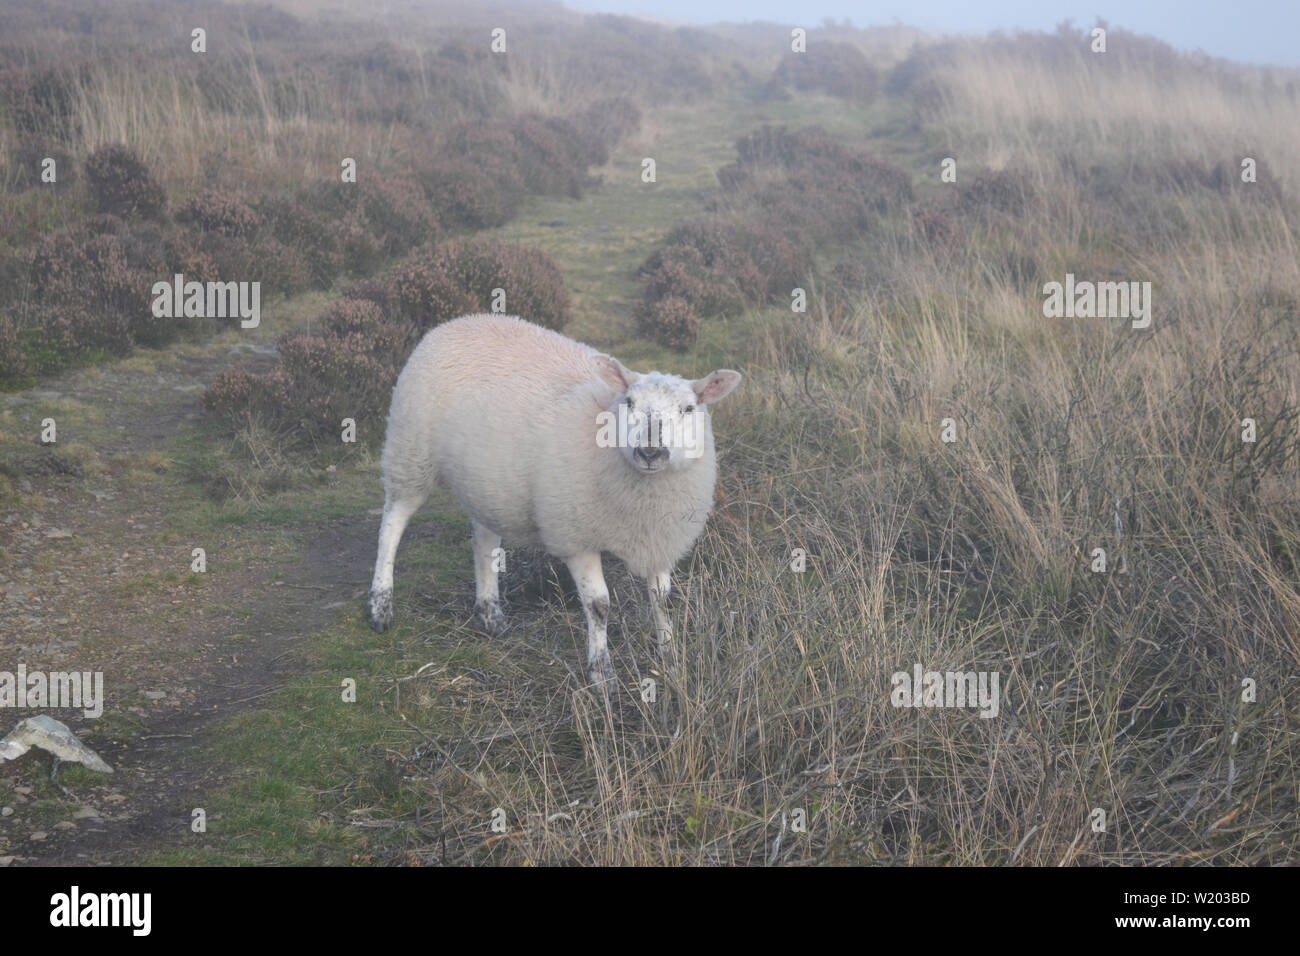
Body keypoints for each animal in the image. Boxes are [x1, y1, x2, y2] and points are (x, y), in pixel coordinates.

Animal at [367, 313, 742, 683]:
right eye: (629, 402)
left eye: (688, 408)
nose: (650, 452)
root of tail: (456, 321)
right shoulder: (576, 536)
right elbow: (599, 605)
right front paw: (602, 673)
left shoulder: (661, 537)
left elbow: (662, 598)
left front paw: (670, 654)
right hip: (411, 450)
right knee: (392, 524)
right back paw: (381, 606)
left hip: (487, 481)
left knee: (484, 539)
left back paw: (490, 614)